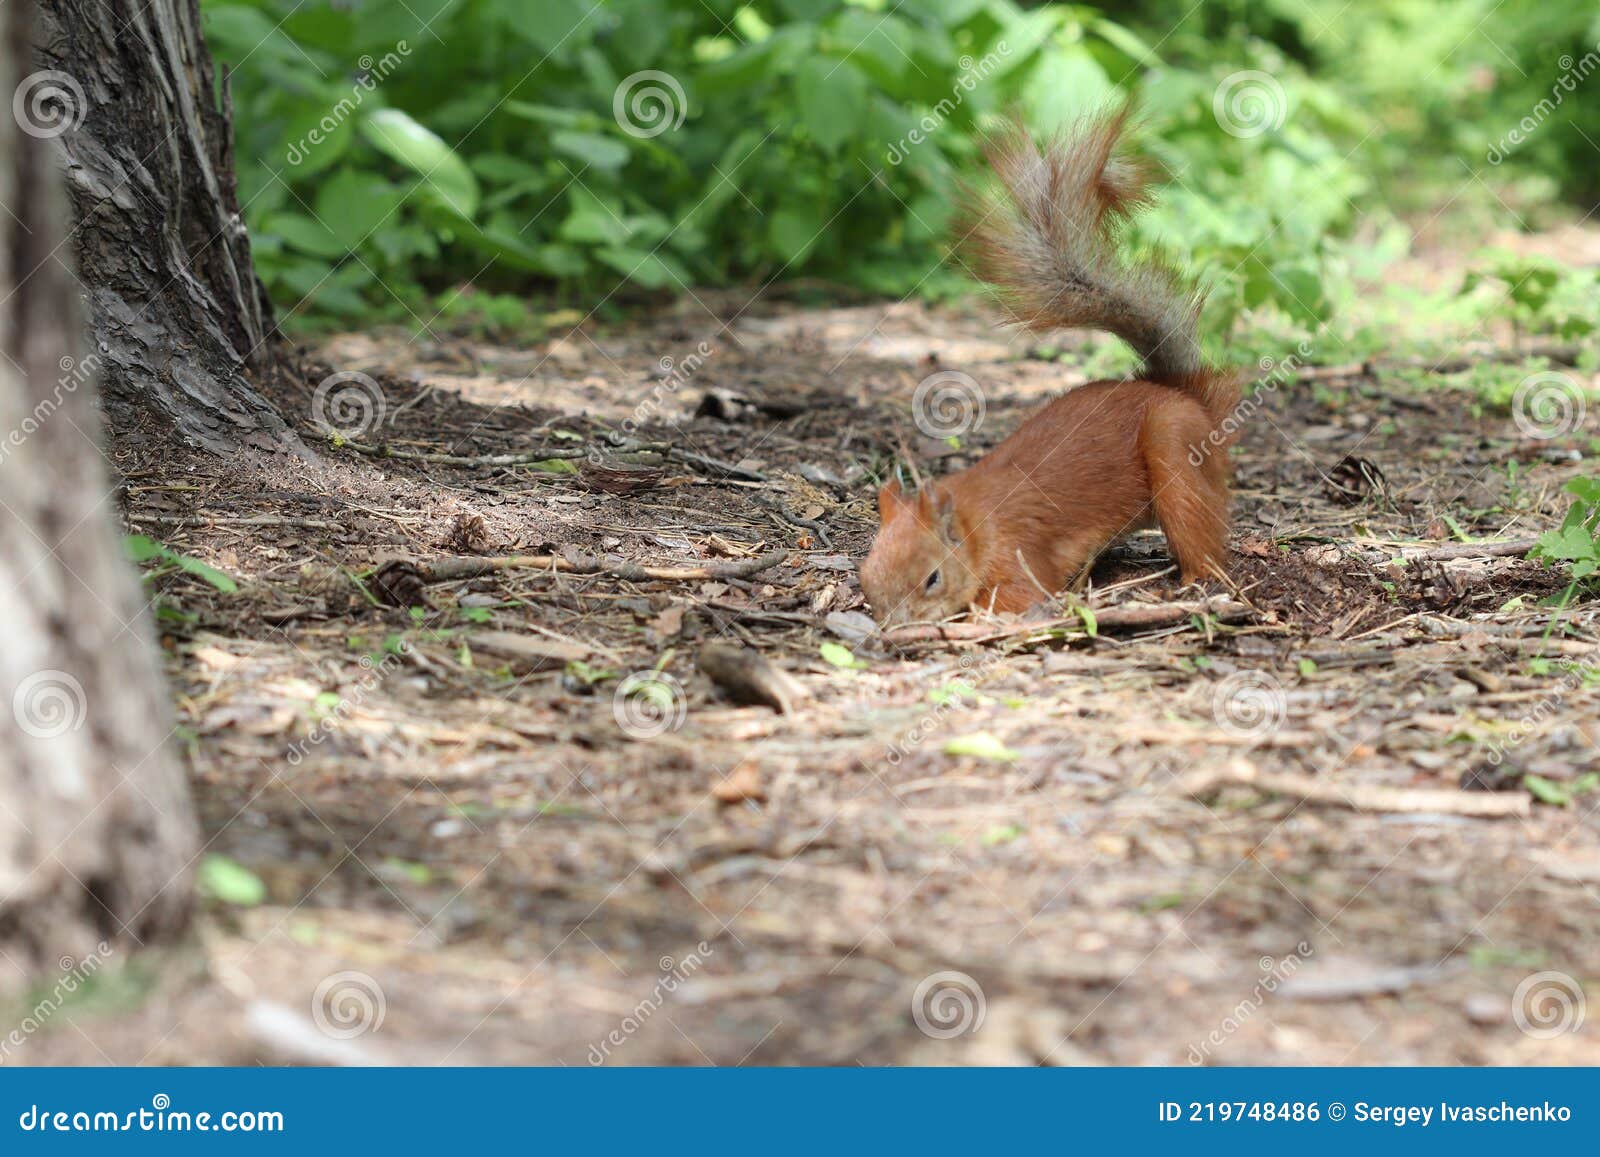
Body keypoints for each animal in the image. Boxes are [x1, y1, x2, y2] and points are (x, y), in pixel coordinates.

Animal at [859, 108, 1241, 628]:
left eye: (932, 578)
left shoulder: (1018, 555)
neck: (974, 524)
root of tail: (1183, 393)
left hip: (1174, 448)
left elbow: (1019, 597)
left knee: (1196, 527)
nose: (891, 627)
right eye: (866, 574)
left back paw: (1195, 580)